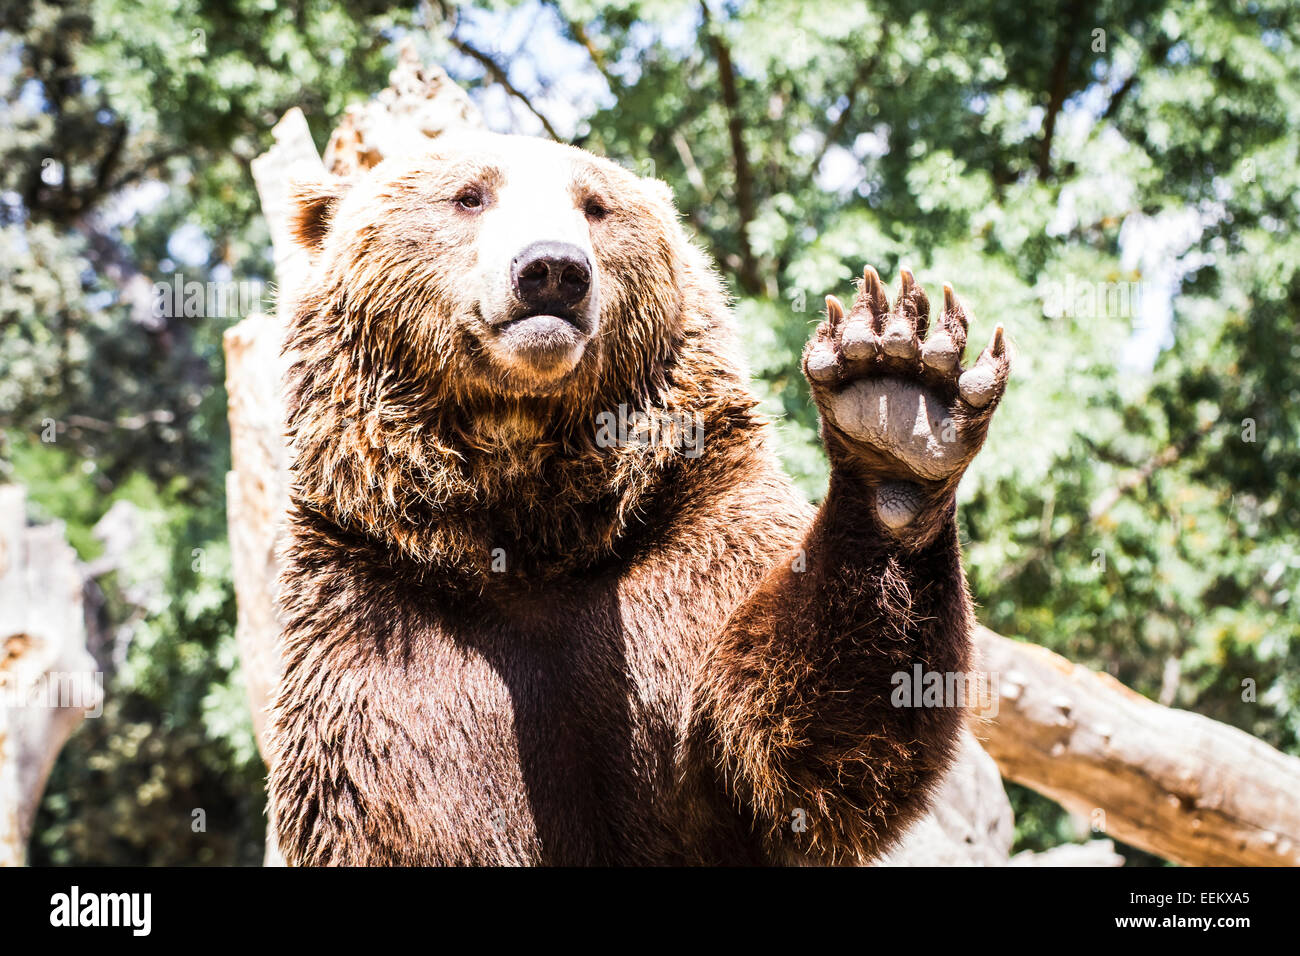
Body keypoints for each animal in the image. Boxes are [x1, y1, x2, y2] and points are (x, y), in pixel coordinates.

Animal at [267, 130, 1010, 866]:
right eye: (469, 194)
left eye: (595, 204)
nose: (552, 269)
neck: (531, 527)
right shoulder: (380, 617)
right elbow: (400, 800)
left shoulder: (690, 548)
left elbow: (796, 746)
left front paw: (896, 403)